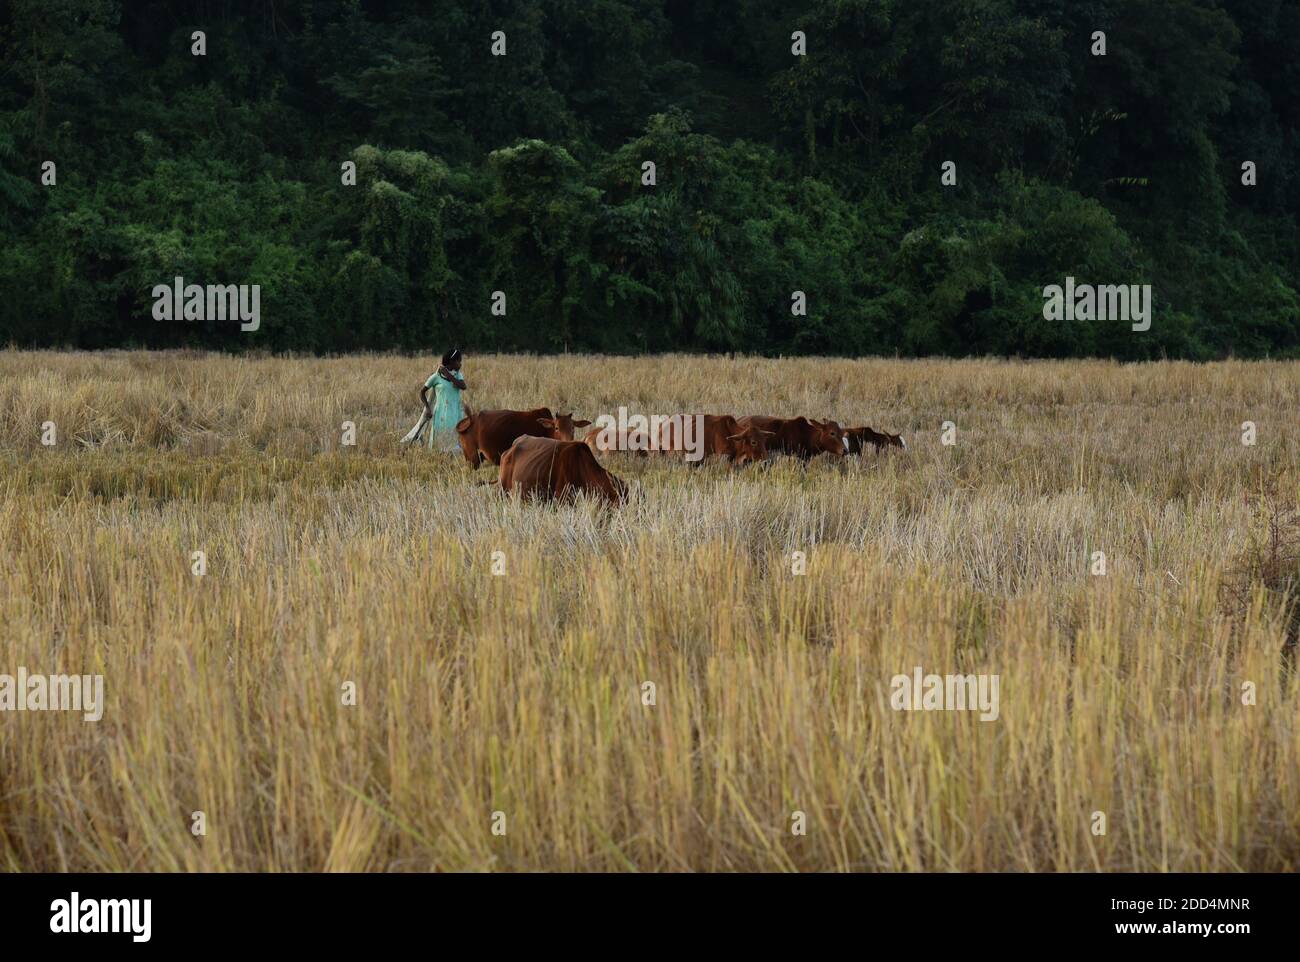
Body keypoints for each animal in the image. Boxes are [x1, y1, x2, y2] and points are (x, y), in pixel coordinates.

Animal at [455, 407, 591, 467]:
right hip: (473, 458)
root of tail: (468, 420)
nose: (568, 441)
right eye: (557, 428)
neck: (546, 431)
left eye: (572, 428)